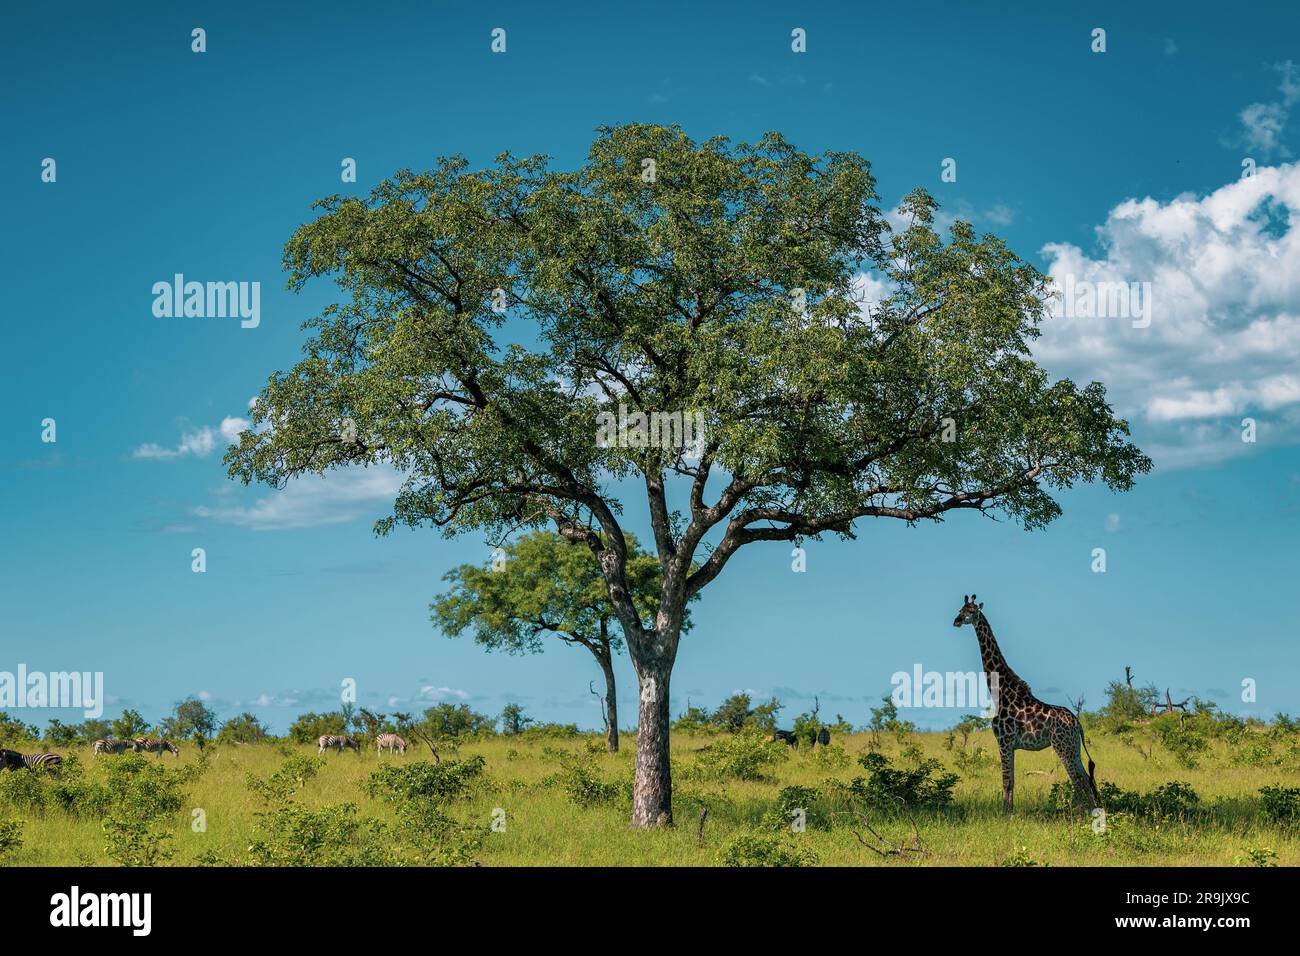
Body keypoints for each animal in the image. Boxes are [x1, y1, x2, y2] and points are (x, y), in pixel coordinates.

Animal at [952, 594, 1100, 815]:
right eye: (960, 610)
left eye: (971, 611)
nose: (957, 621)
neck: (1000, 692)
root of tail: (1077, 724)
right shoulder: (1011, 745)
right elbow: (1011, 781)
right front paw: (1010, 812)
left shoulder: (1003, 741)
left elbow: (1006, 781)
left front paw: (1004, 815)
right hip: (1073, 748)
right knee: (1086, 778)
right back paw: (1092, 811)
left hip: (1062, 746)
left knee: (1077, 780)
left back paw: (1080, 814)